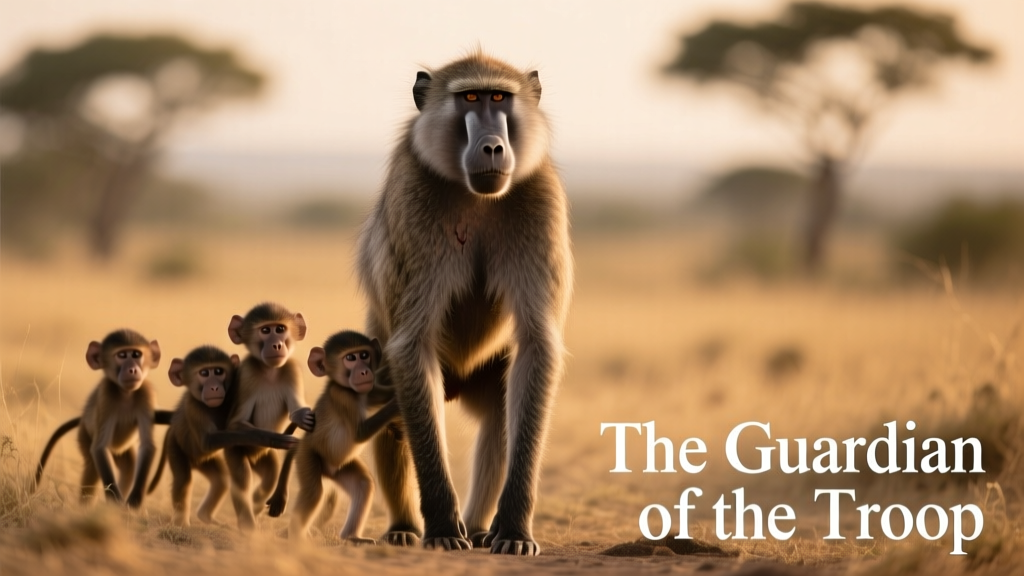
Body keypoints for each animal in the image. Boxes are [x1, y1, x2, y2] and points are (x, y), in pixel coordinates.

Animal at [34, 329, 164, 508]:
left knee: (128, 467)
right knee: (92, 466)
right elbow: (99, 448)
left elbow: (147, 445)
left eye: (136, 354)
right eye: (122, 355)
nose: (132, 370)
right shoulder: (106, 397)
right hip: (84, 434)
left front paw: (133, 500)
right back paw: (85, 507)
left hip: (121, 450)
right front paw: (115, 500)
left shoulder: (147, 395)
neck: (126, 394)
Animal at [145, 346, 299, 527]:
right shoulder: (193, 407)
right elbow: (209, 440)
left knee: (224, 479)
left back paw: (208, 516)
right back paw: (182, 523)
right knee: (183, 480)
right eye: (204, 373)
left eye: (218, 371)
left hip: (206, 460)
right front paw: (272, 438)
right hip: (175, 446)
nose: (214, 388)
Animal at [204, 302, 313, 530]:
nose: (277, 345)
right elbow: (235, 423)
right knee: (243, 479)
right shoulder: (247, 373)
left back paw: (257, 504)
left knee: (269, 477)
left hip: (265, 457)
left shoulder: (292, 370)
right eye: (265, 330)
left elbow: (298, 411)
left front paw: (302, 418)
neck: (270, 371)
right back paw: (247, 522)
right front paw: (280, 439)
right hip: (236, 450)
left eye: (279, 329)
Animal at [280, 330, 400, 542]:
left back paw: (351, 537)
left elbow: (379, 394)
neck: (349, 390)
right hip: (308, 455)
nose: (364, 372)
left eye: (364, 355)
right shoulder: (342, 396)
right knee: (313, 493)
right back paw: (297, 538)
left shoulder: (368, 391)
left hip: (340, 469)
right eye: (351, 358)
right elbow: (360, 433)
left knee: (363, 484)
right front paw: (396, 403)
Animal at [355, 51, 573, 555]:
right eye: (470, 98)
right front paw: (440, 528)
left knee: (500, 416)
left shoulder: (540, 201)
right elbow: (410, 346)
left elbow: (537, 345)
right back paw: (406, 527)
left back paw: (477, 526)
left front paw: (513, 531)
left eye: (500, 97)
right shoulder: (415, 201)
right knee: (390, 413)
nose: (492, 146)